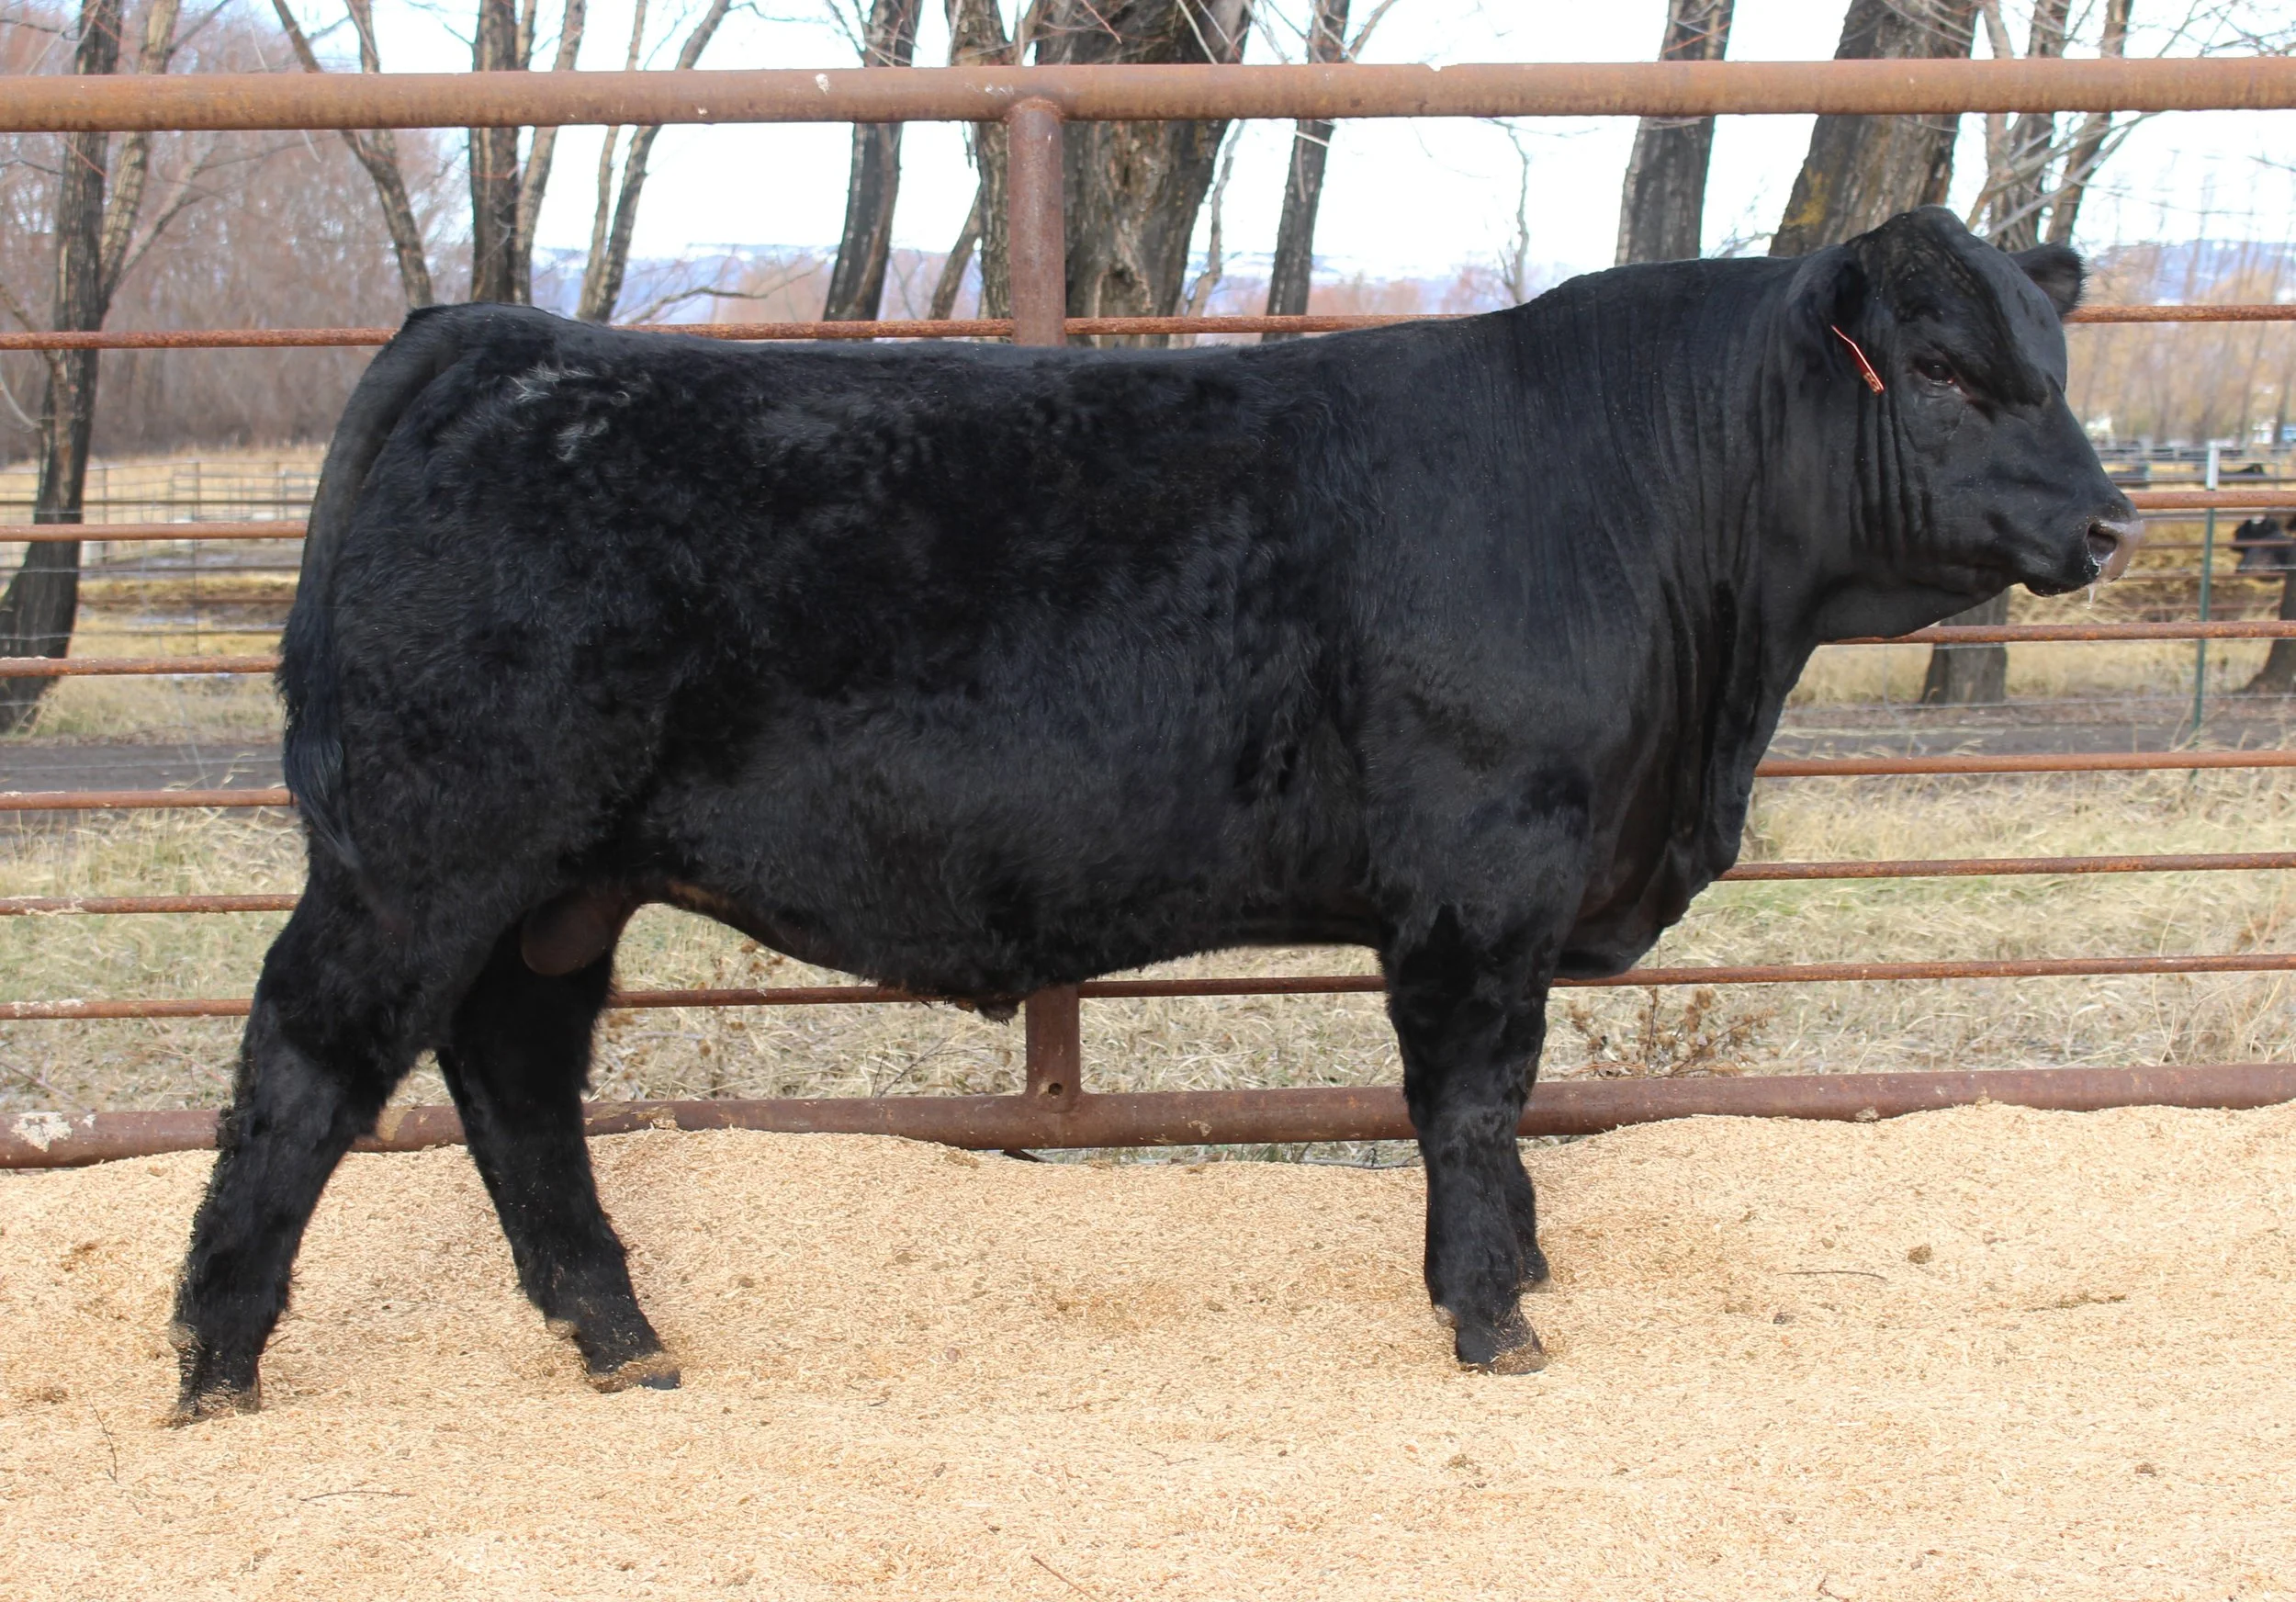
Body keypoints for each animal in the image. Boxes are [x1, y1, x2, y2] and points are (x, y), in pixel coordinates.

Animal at [167, 206, 2138, 1420]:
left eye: (2054, 356)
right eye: (1947, 371)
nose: (2112, 521)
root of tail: (488, 339)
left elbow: (1494, 1109)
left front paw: (1508, 1272)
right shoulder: (1485, 870)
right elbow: (1476, 1098)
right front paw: (1496, 1314)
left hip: (557, 886)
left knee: (515, 1081)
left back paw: (621, 1336)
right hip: (425, 852)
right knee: (306, 1065)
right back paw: (215, 1364)